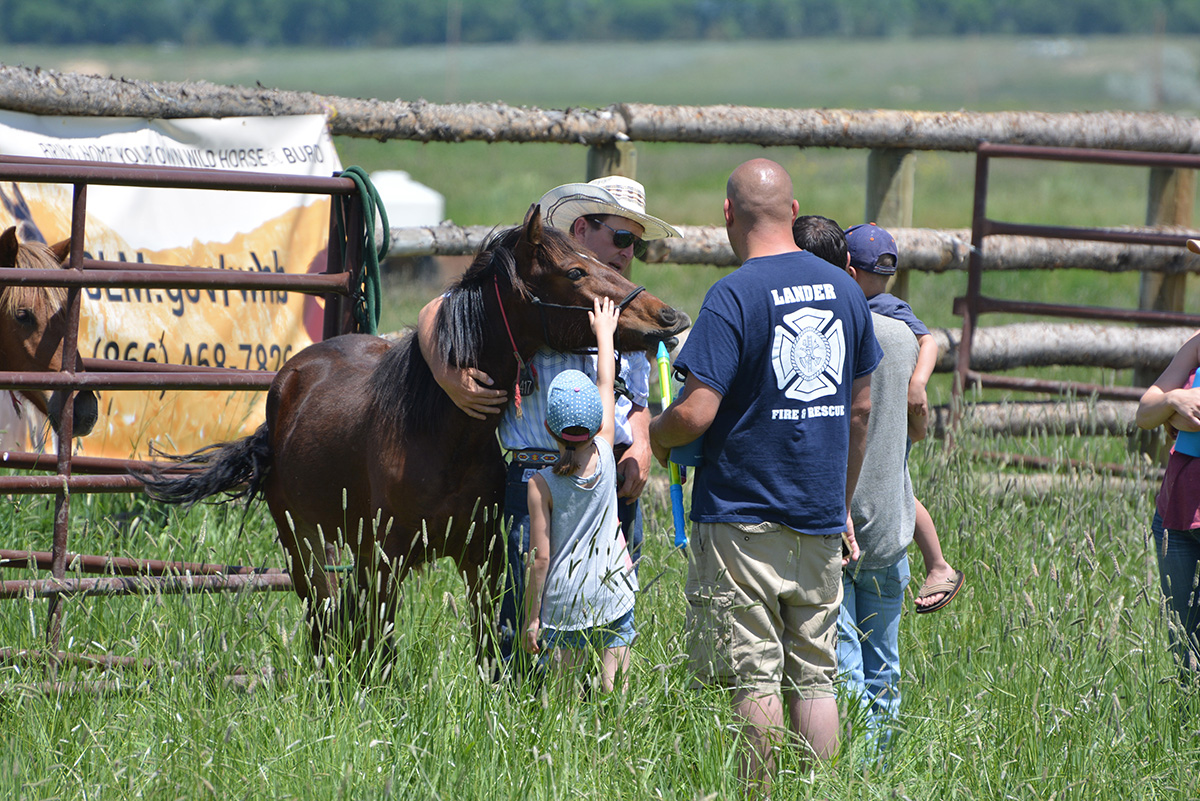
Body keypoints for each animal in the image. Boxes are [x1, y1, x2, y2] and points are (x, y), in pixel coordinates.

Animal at [141, 206, 690, 669]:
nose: (670, 317)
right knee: (325, 620)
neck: (443, 437)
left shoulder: (481, 558)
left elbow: (488, 645)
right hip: (306, 546)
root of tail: (287, 386)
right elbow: (380, 648)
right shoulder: (387, 560)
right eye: (575, 272)